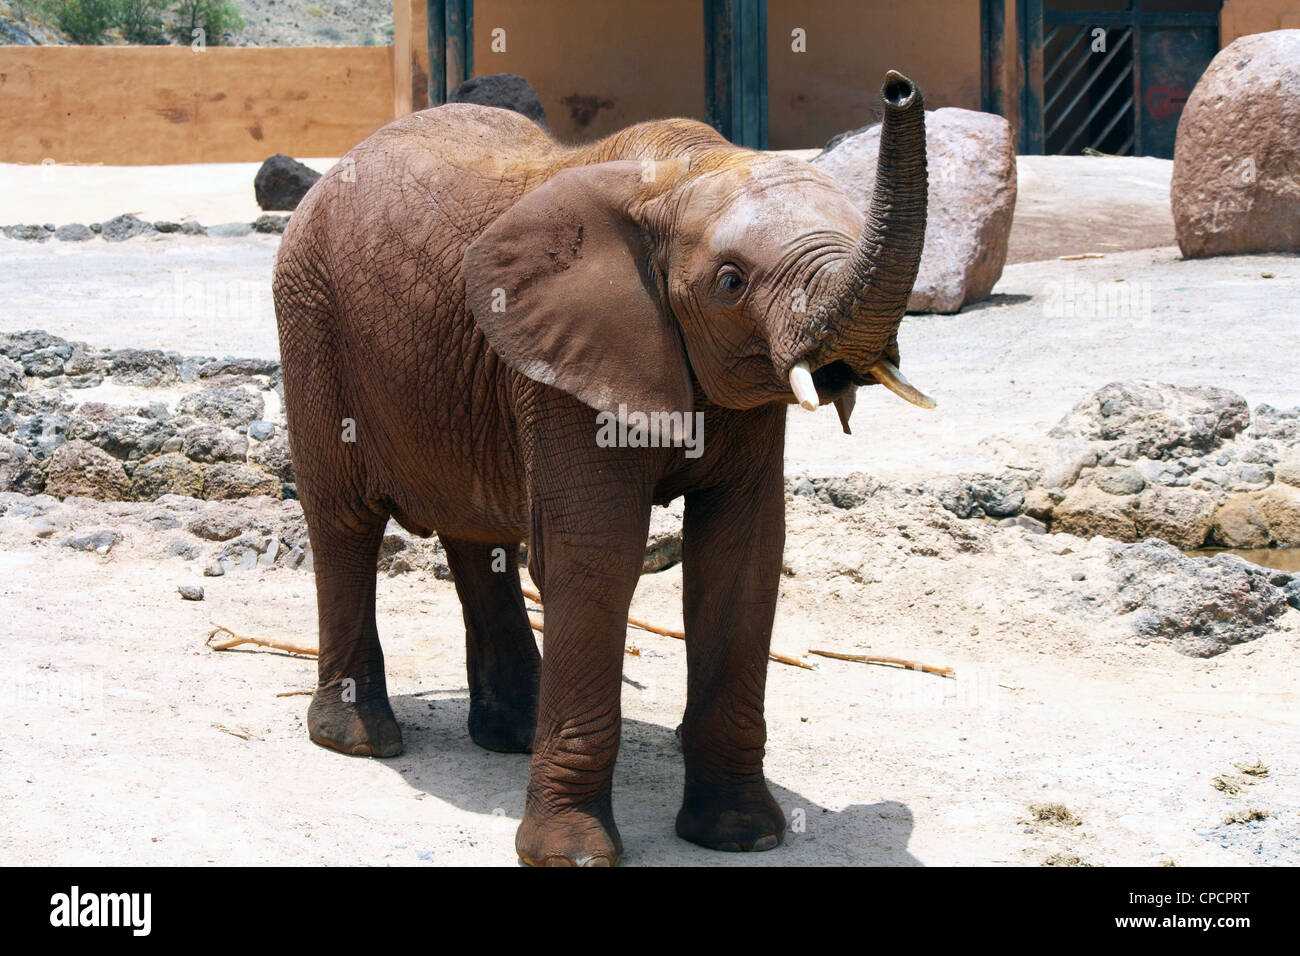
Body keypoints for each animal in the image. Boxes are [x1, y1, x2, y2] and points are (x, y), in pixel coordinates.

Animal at [273, 70, 932, 866]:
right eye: (732, 282)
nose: (897, 87)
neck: (680, 176)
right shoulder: (560, 364)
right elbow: (596, 557)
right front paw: (570, 855)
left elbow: (740, 555)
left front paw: (745, 836)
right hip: (311, 318)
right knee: (345, 523)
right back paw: (360, 741)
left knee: (477, 534)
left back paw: (513, 733)